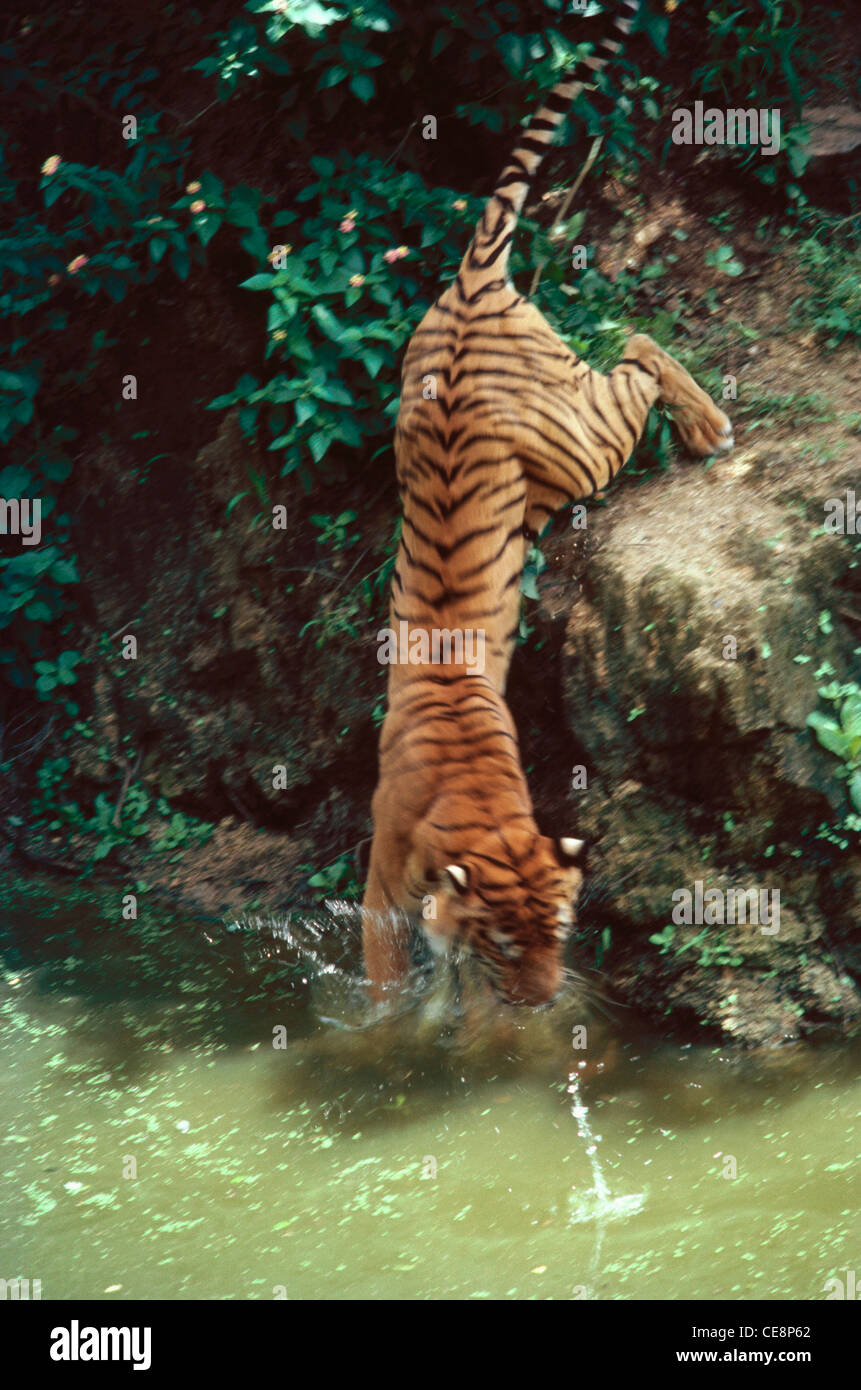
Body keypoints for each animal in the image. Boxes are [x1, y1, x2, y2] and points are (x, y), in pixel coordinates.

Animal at [362, 0, 733, 1006]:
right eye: (503, 941)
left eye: (559, 931)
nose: (539, 1000)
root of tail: (472, 280)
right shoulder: (381, 890)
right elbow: (388, 984)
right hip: (572, 440)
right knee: (635, 342)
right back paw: (710, 426)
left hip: (578, 441)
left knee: (636, 342)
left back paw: (708, 425)